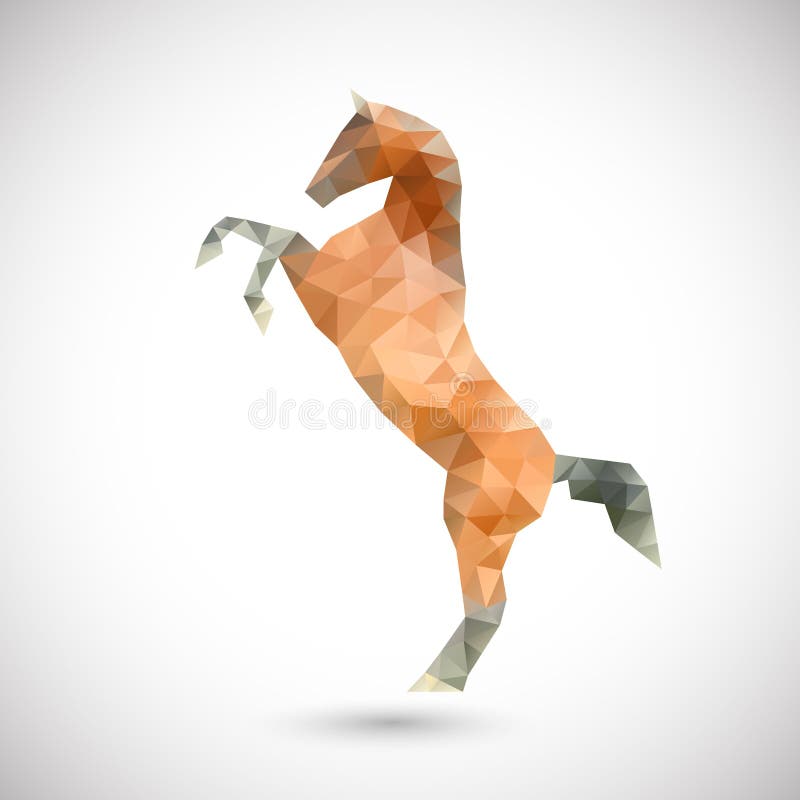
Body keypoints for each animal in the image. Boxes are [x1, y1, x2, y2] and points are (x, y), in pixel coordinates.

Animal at [196, 92, 660, 691]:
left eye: (354, 137)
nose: (314, 191)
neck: (407, 243)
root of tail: (555, 465)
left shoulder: (318, 283)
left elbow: (275, 236)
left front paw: (255, 306)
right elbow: (258, 228)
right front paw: (223, 268)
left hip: (473, 532)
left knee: (487, 612)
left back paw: (432, 682)